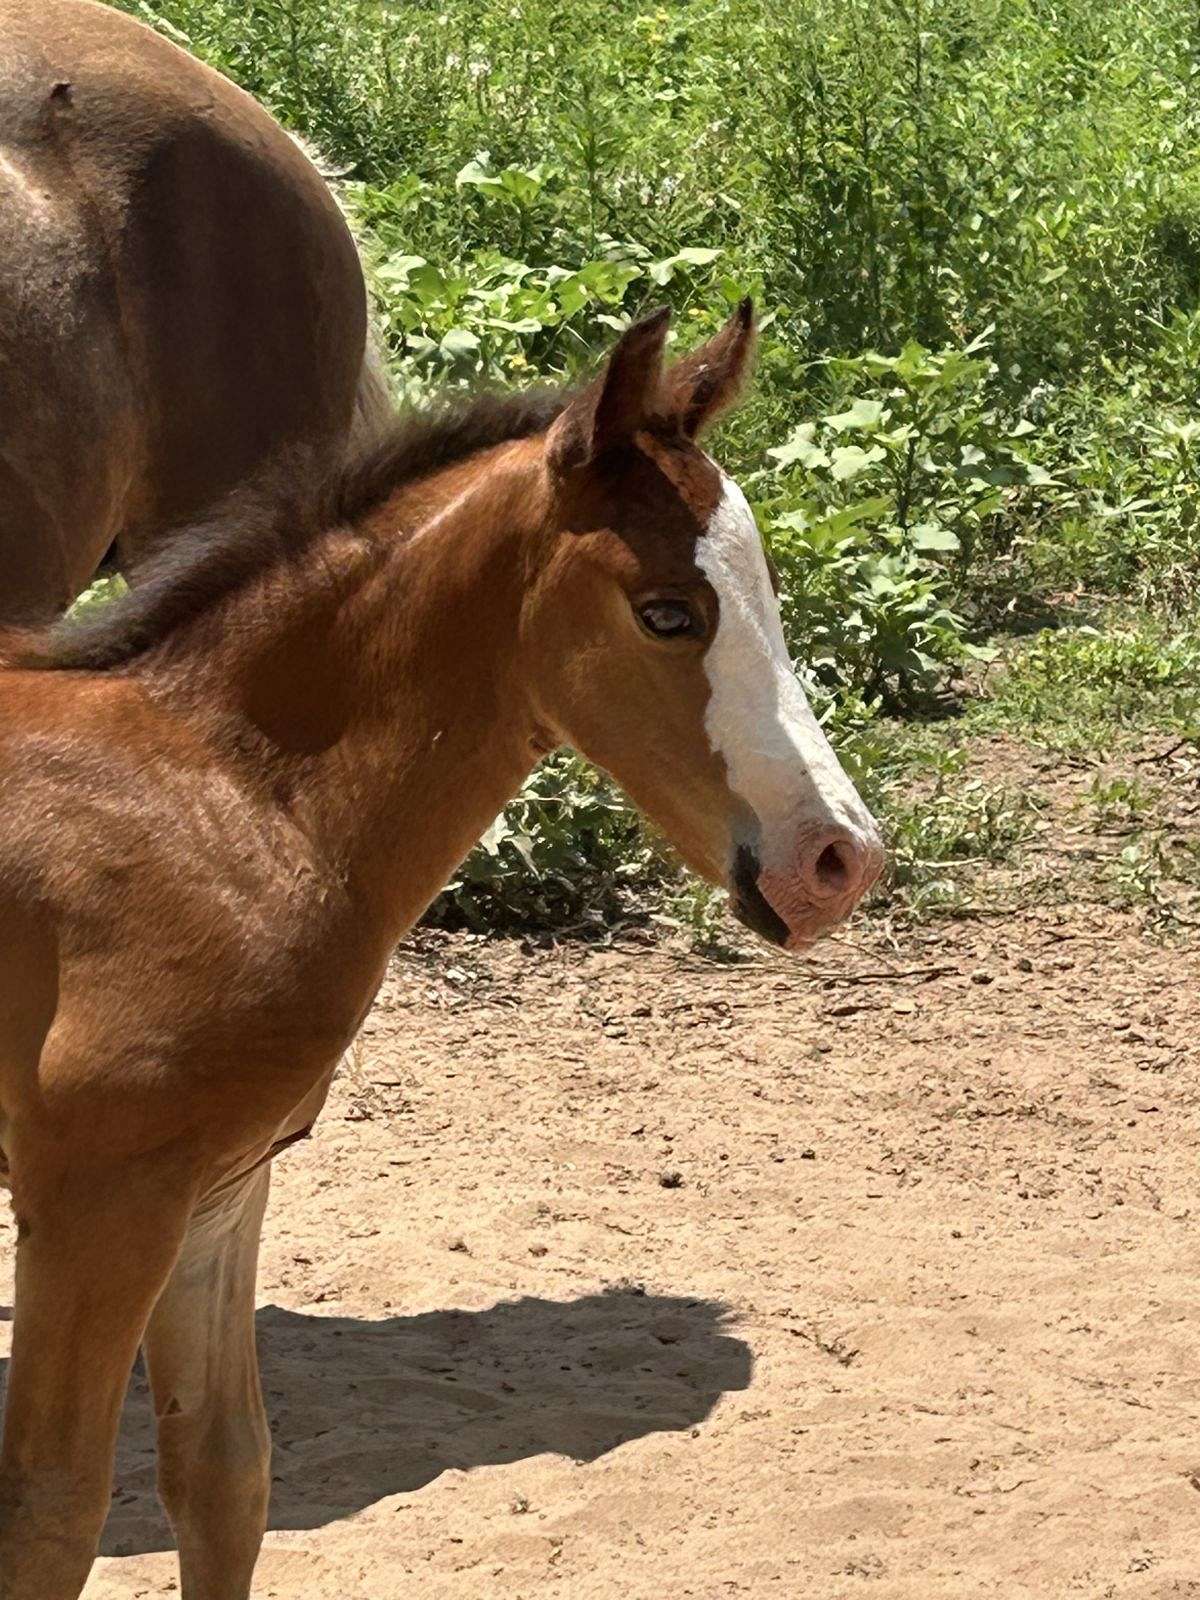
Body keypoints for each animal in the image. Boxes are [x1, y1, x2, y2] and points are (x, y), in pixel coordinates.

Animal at [0, 302, 883, 1598]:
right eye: (668, 611)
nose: (837, 859)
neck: (226, 794)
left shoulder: (217, 1190)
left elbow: (222, 1478)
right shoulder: (94, 1195)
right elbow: (51, 1514)